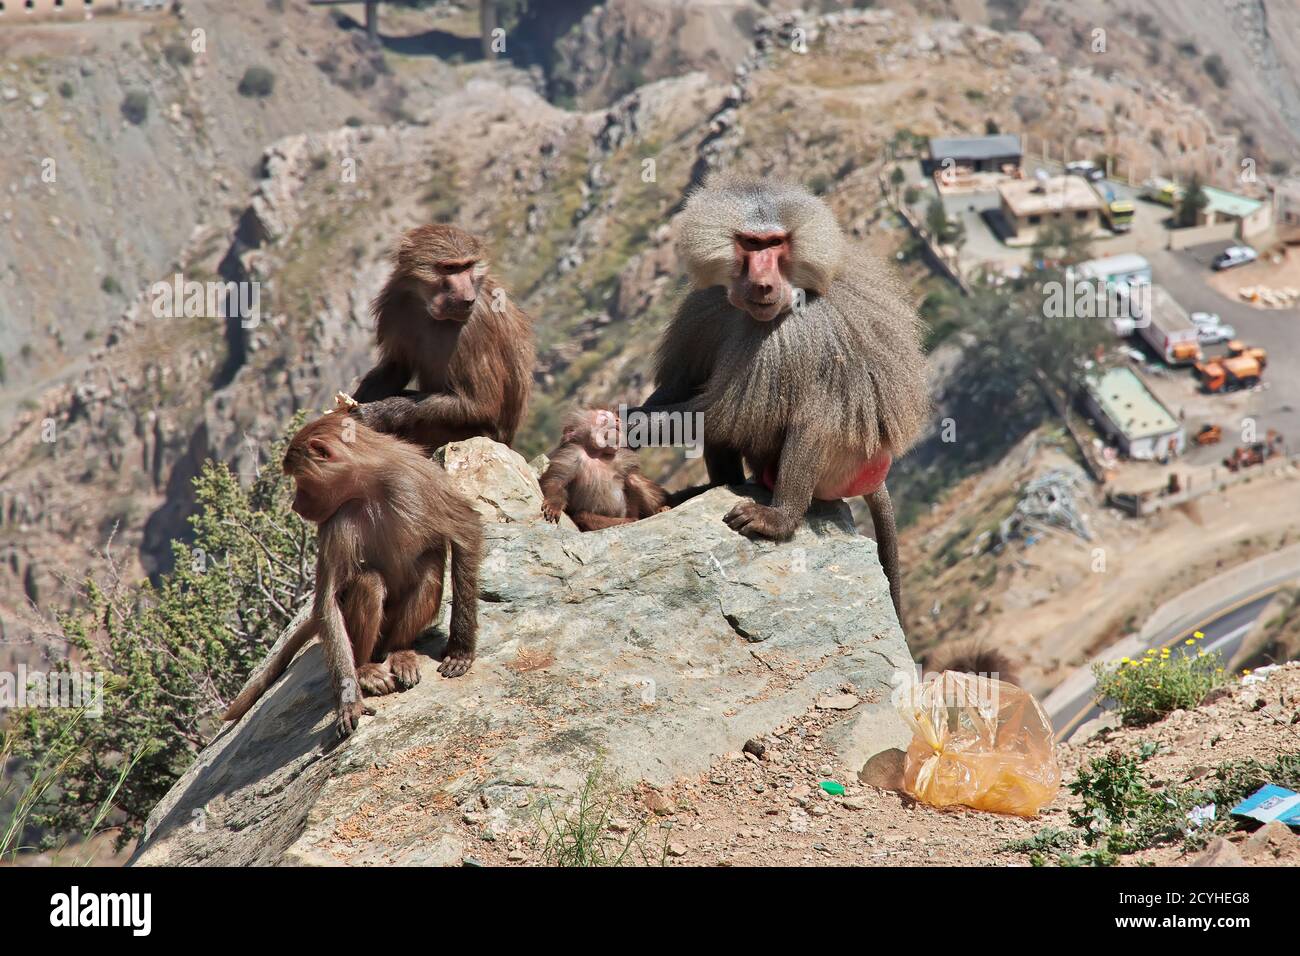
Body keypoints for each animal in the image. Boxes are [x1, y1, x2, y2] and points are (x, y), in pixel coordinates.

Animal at [223, 412, 483, 737]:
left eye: (300, 480)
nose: (295, 506)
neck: (371, 484)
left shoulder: (420, 482)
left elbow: (466, 531)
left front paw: (460, 650)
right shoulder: (337, 521)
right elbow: (328, 601)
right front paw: (349, 701)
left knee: (429, 569)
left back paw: (399, 652)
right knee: (369, 583)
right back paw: (363, 669)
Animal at [351, 224, 535, 452]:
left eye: (467, 267)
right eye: (449, 268)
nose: (467, 299)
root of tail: (507, 442)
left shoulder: (476, 321)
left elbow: (480, 404)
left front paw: (380, 413)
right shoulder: (394, 306)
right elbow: (396, 368)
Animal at [539, 408, 670, 532]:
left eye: (615, 417)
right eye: (604, 417)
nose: (618, 420)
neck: (597, 454)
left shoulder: (622, 457)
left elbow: (633, 473)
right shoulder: (571, 454)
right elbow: (556, 480)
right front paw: (553, 505)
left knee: (633, 478)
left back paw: (656, 511)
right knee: (582, 515)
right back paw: (627, 521)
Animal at [630, 176, 931, 618]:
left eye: (776, 243)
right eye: (750, 244)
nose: (763, 284)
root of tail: (876, 474)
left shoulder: (796, 332)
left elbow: (724, 410)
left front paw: (626, 425)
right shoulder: (706, 306)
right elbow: (685, 388)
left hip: (843, 468)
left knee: (816, 416)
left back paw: (778, 518)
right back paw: (716, 487)